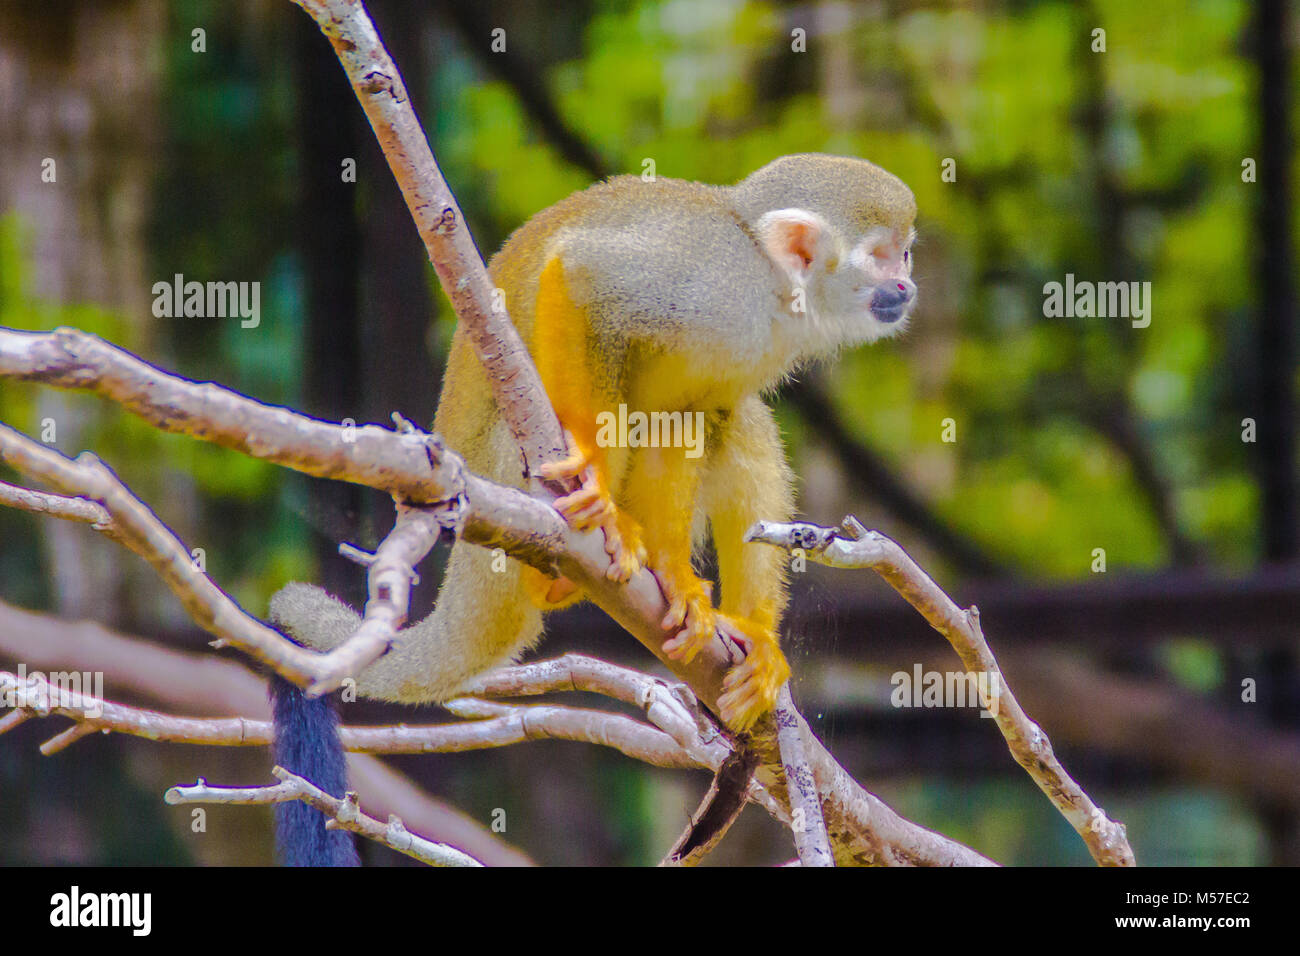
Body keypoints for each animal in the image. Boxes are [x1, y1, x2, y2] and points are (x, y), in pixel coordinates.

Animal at [268, 154, 916, 862]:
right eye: (881, 255)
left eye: (907, 253)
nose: (906, 286)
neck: (774, 290)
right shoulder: (711, 281)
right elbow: (583, 277)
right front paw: (596, 489)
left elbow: (686, 416)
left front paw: (678, 581)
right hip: (501, 467)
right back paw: (554, 567)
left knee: (731, 417)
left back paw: (740, 625)